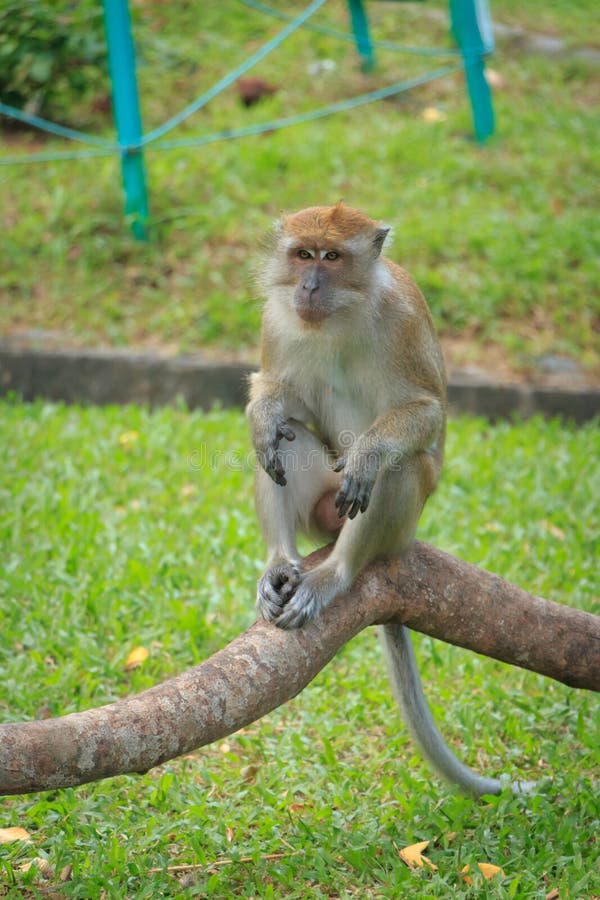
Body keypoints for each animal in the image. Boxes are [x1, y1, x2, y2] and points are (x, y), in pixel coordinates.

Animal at [246, 203, 515, 797]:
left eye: (332, 256)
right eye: (303, 253)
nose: (309, 285)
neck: (342, 313)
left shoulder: (402, 318)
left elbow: (427, 411)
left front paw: (368, 452)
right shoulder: (278, 318)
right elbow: (278, 397)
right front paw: (264, 412)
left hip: (399, 522)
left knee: (400, 467)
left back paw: (336, 574)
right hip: (321, 510)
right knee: (283, 445)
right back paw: (279, 563)